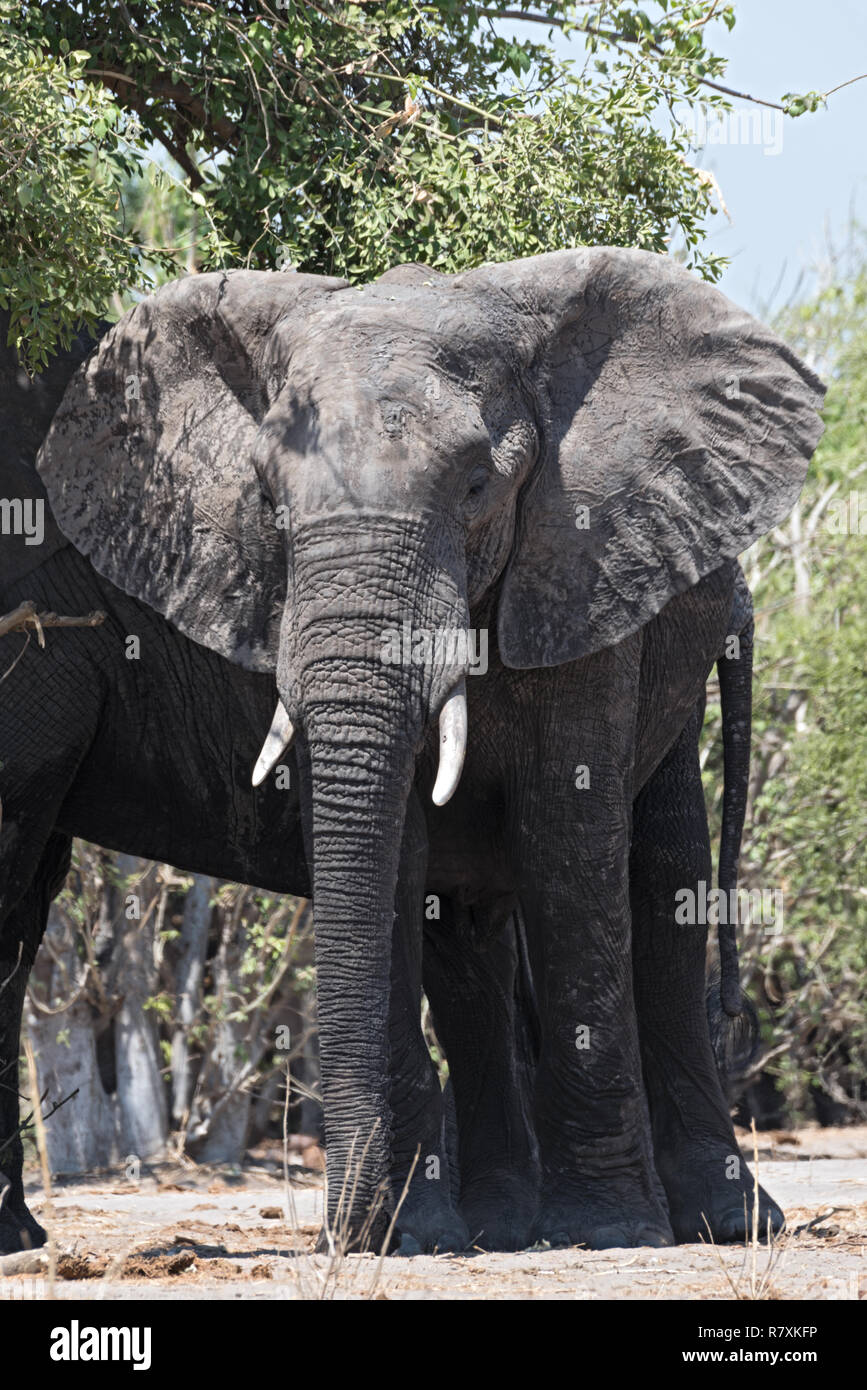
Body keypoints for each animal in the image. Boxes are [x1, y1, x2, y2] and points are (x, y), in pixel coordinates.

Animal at [5, 247, 825, 1254]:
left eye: (476, 485)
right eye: (268, 502)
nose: (338, 1235)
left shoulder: (583, 566)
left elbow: (566, 843)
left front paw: (606, 1231)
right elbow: (395, 850)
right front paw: (413, 1236)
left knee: (662, 878)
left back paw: (719, 1222)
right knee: (466, 929)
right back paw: (497, 1226)